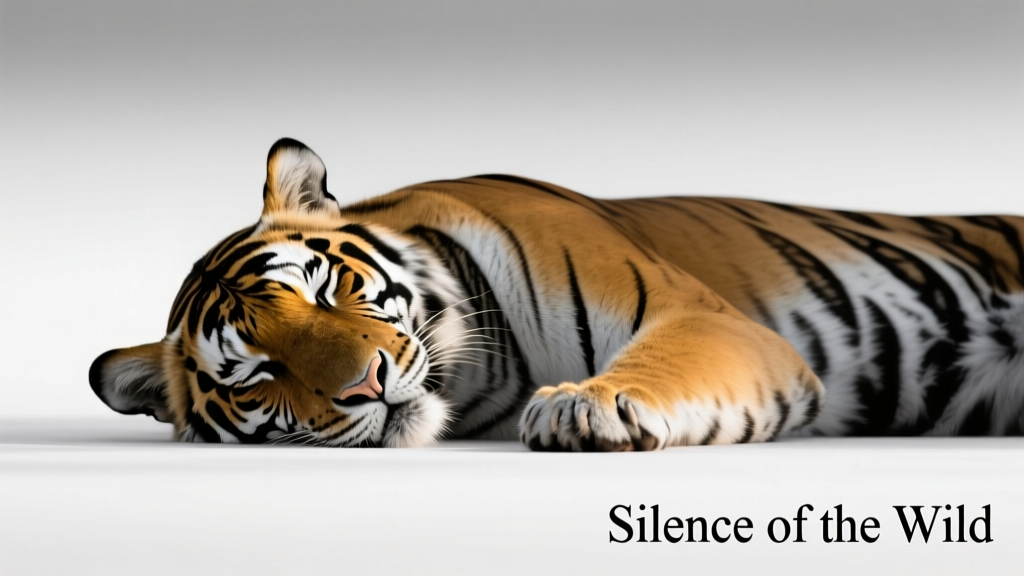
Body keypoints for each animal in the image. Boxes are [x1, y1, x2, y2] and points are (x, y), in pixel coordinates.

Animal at [89, 138, 1024, 450]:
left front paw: (589, 405)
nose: (366, 386)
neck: (477, 382)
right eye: (259, 373)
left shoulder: (701, 315)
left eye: (323, 293)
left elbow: (664, 360)